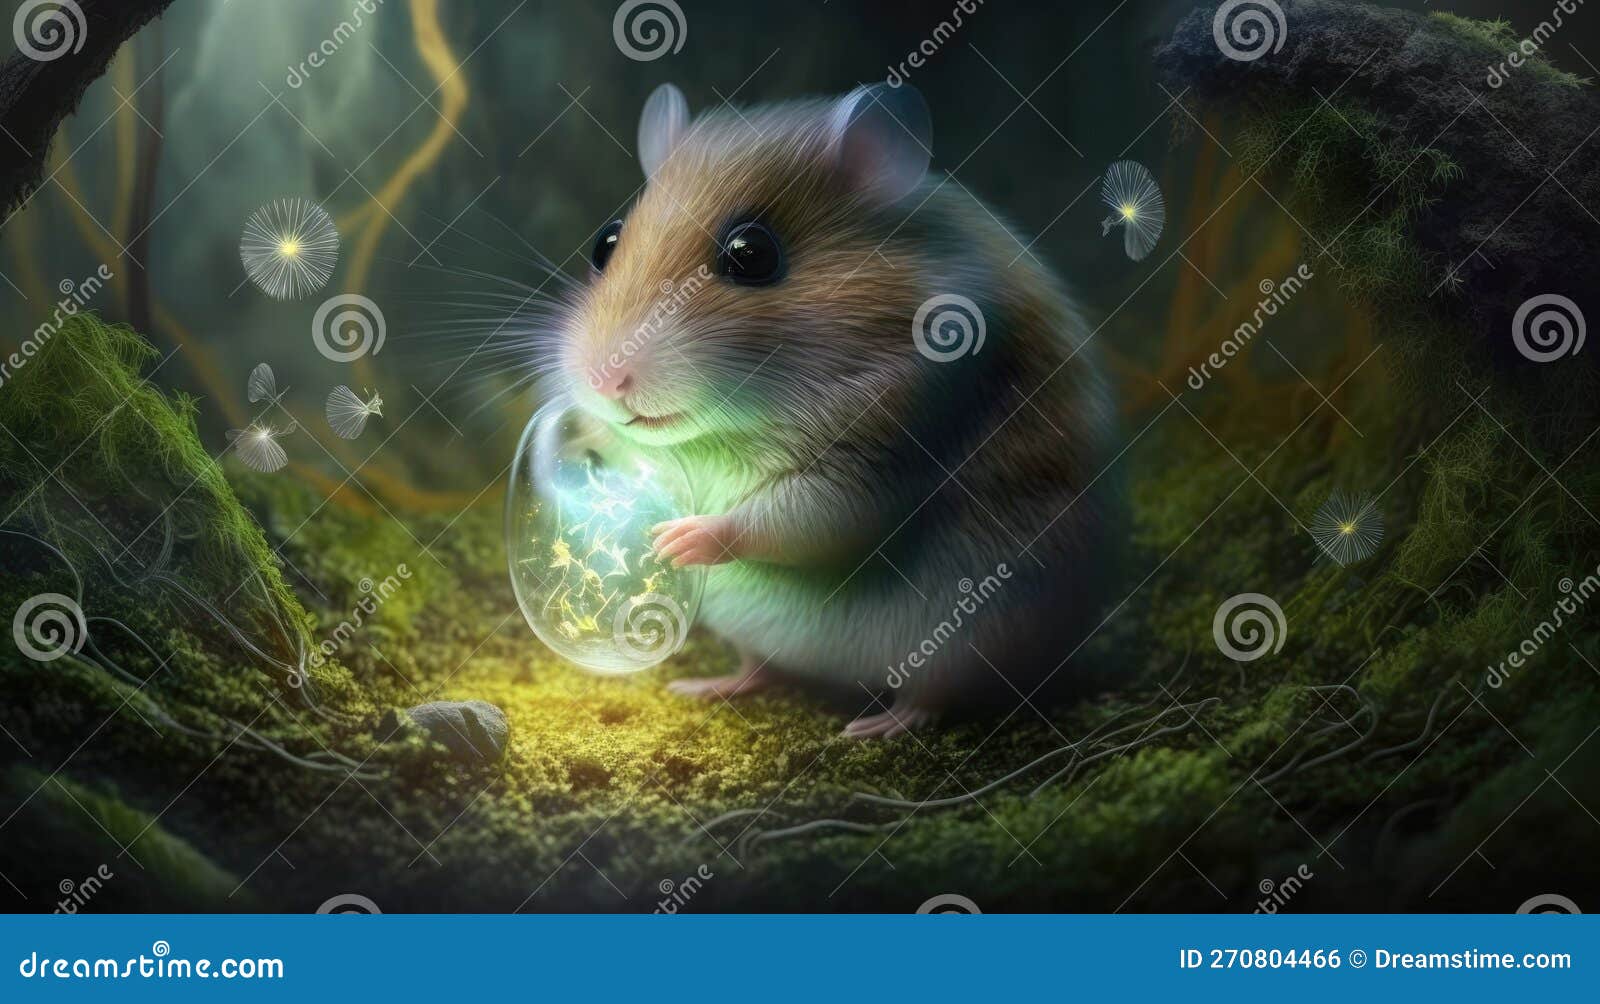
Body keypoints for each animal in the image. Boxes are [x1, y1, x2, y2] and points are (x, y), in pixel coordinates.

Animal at [554, 82, 1114, 738]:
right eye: (605, 243)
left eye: (751, 255)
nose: (604, 380)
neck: (726, 431)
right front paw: (582, 445)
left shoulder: (883, 448)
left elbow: (797, 516)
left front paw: (678, 538)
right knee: (761, 667)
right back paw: (708, 685)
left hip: (967, 636)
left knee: (933, 694)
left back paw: (878, 725)